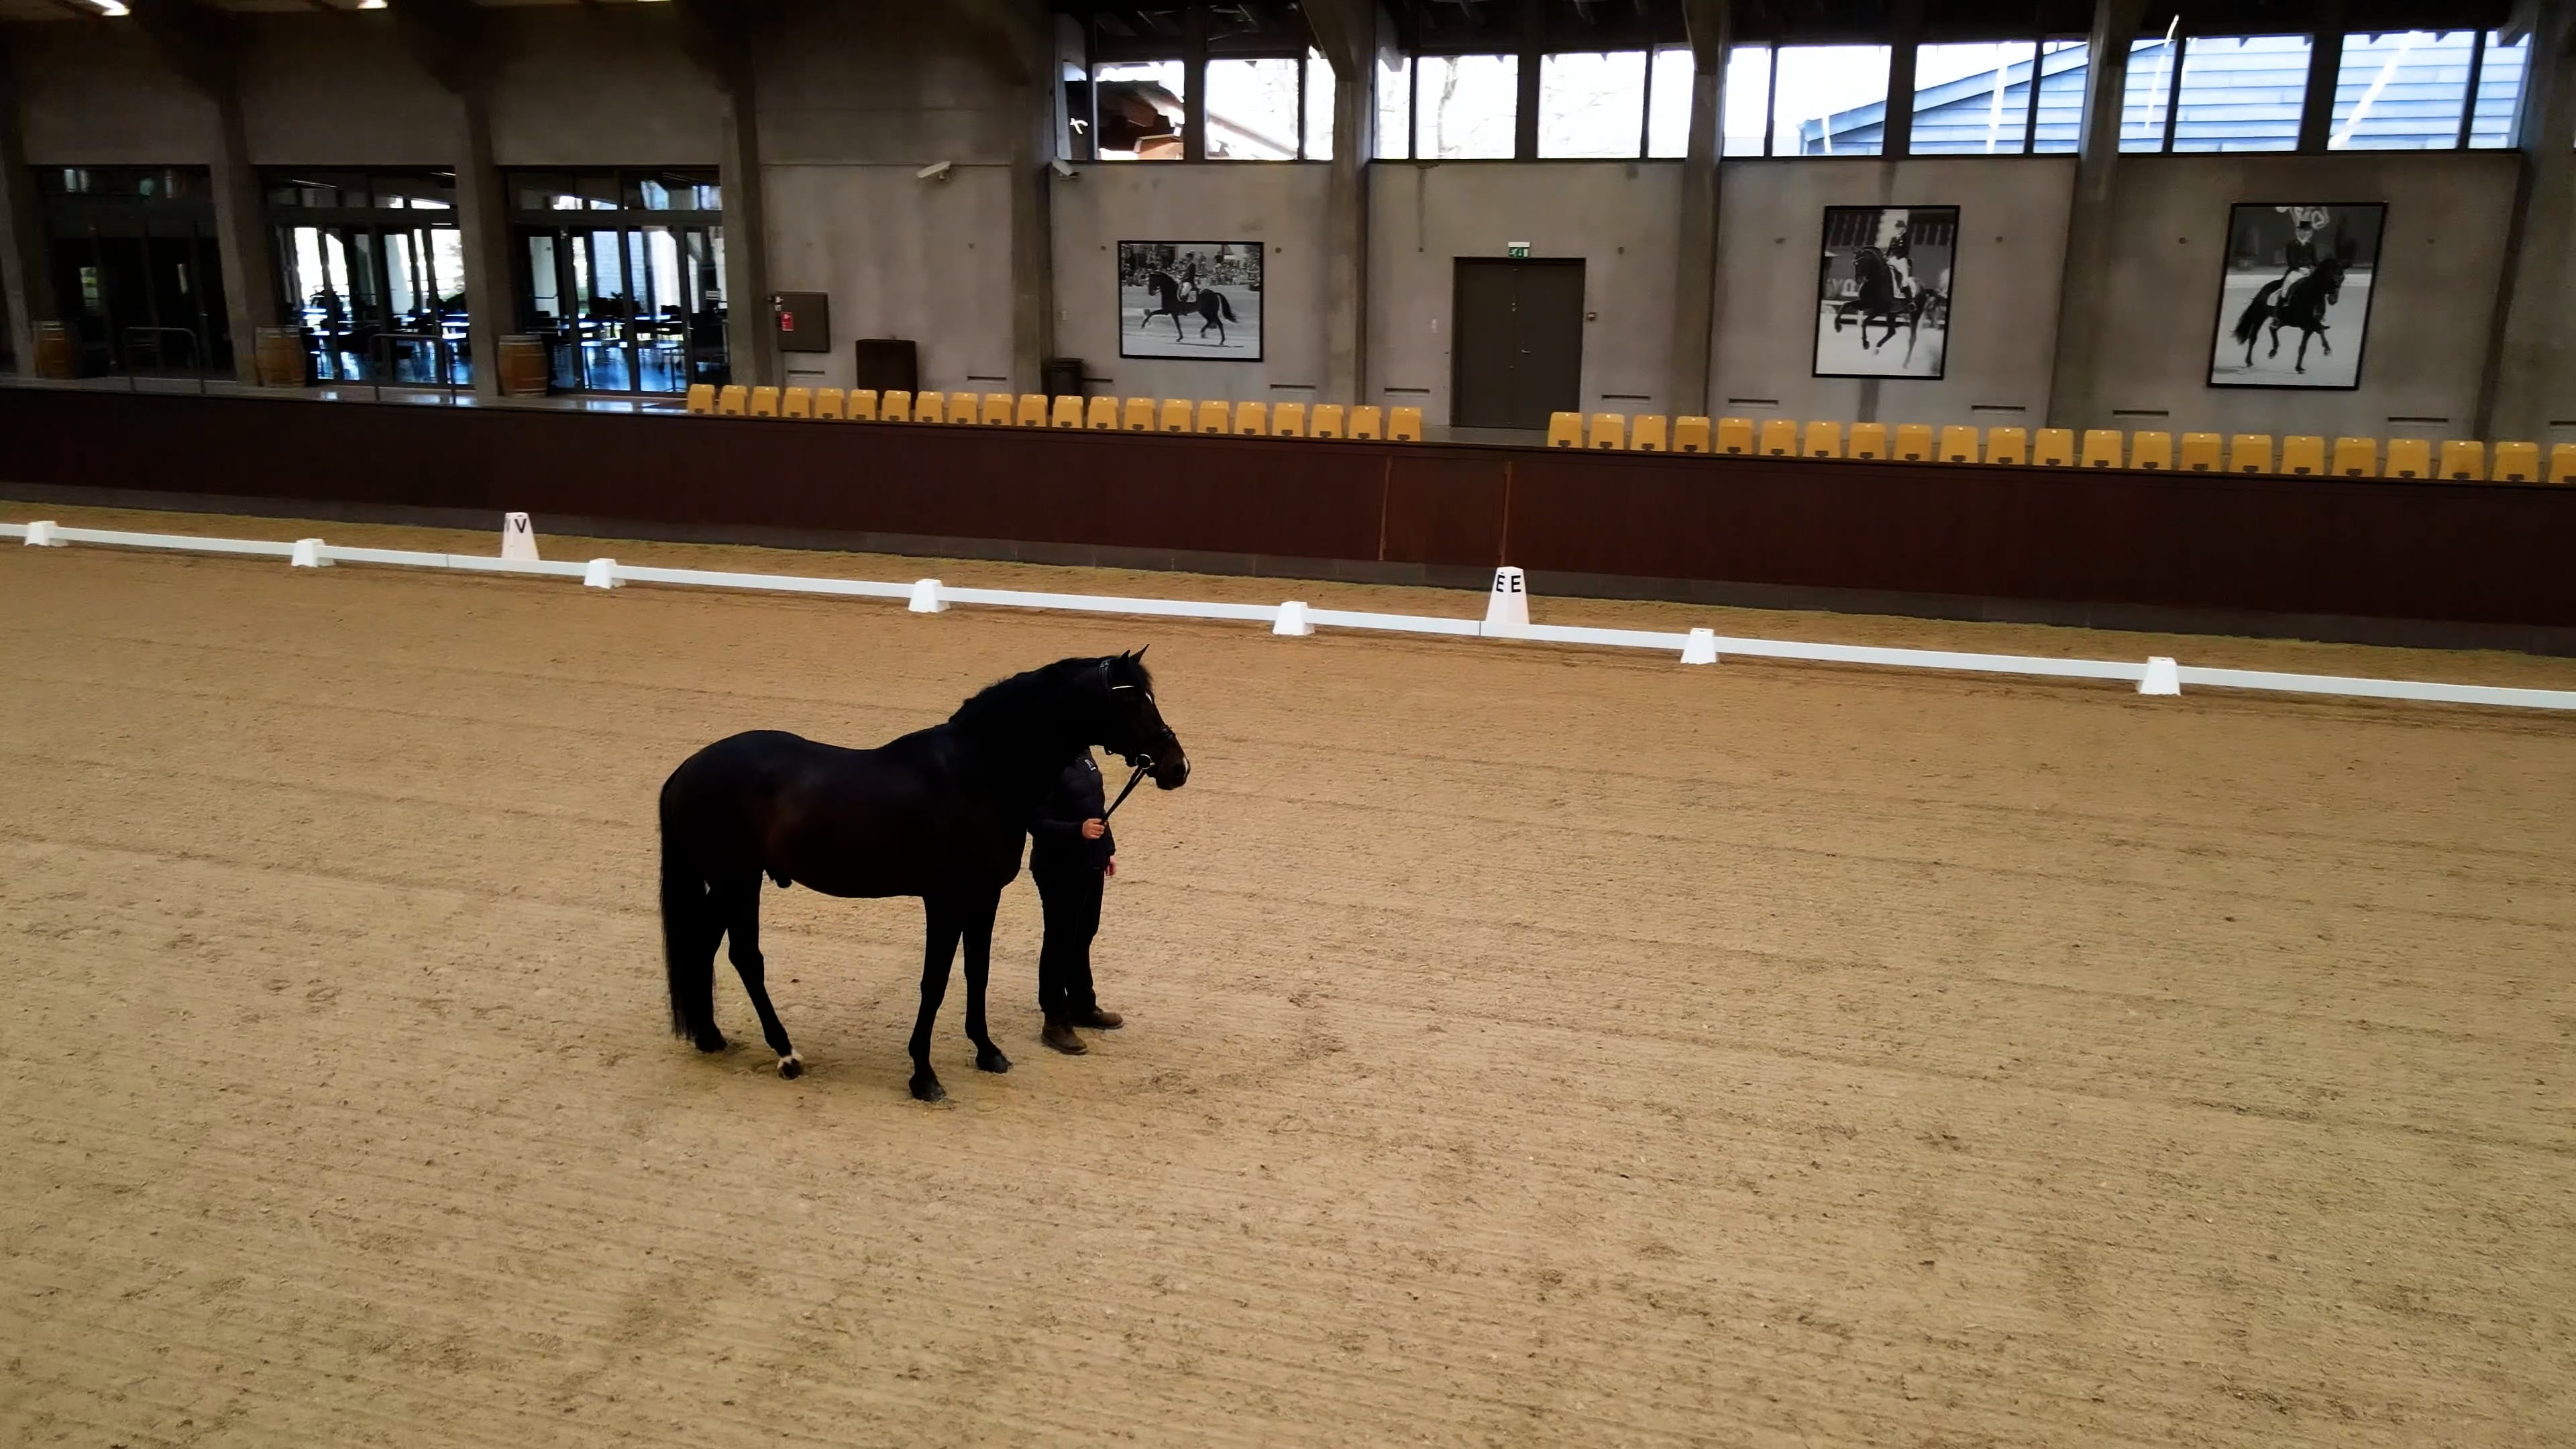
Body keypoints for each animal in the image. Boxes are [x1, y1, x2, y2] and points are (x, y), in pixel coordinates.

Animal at [657, 651, 1189, 1102]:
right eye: (1129, 699)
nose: (1177, 766)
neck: (980, 773)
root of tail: (687, 769)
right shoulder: (945, 900)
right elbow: (934, 981)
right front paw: (924, 1075)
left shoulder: (984, 896)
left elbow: (977, 971)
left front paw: (988, 1052)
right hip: (738, 882)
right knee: (746, 957)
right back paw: (786, 1054)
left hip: (728, 885)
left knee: (705, 945)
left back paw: (710, 1037)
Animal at [1141, 270, 1238, 345]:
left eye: (1151, 280)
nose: (1151, 293)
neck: (1171, 291)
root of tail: (1214, 293)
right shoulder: (1168, 312)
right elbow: (1153, 313)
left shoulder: (1170, 312)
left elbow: (1177, 325)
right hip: (1204, 312)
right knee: (1210, 321)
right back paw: (1202, 333)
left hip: (1212, 312)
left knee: (1219, 323)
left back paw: (1222, 341)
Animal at [2231, 256, 2348, 375]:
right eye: (2333, 279)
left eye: (2343, 279)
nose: (2333, 301)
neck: (2311, 294)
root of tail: (2265, 288)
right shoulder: (2306, 323)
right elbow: (2319, 329)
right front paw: (2327, 350)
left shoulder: (2309, 326)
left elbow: (2304, 346)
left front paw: (2299, 368)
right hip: (2261, 317)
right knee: (2254, 337)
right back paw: (2249, 362)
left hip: (2284, 320)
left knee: (2272, 328)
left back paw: (2273, 351)